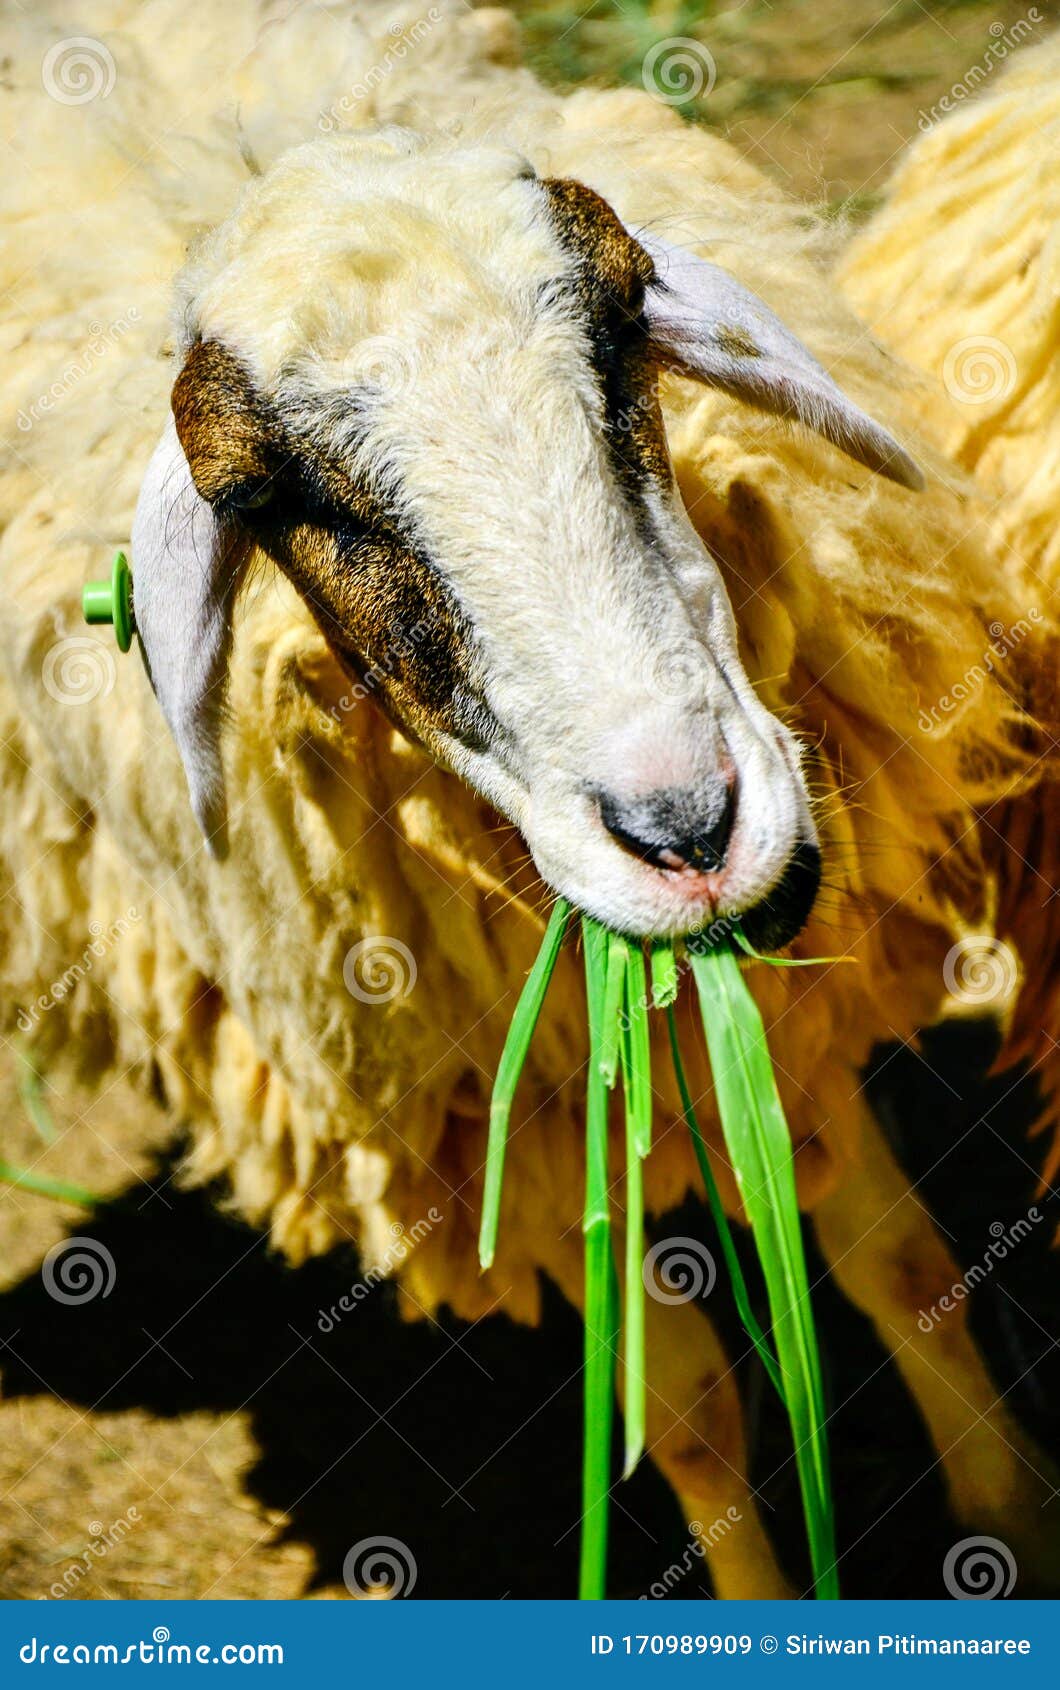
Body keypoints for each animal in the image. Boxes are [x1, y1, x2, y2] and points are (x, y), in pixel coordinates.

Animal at [2, 0, 1056, 1595]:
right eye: (275, 495)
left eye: (622, 333)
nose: (689, 835)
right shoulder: (509, 1103)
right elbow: (685, 1417)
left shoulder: (783, 986)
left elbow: (904, 1262)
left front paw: (1011, 1521)